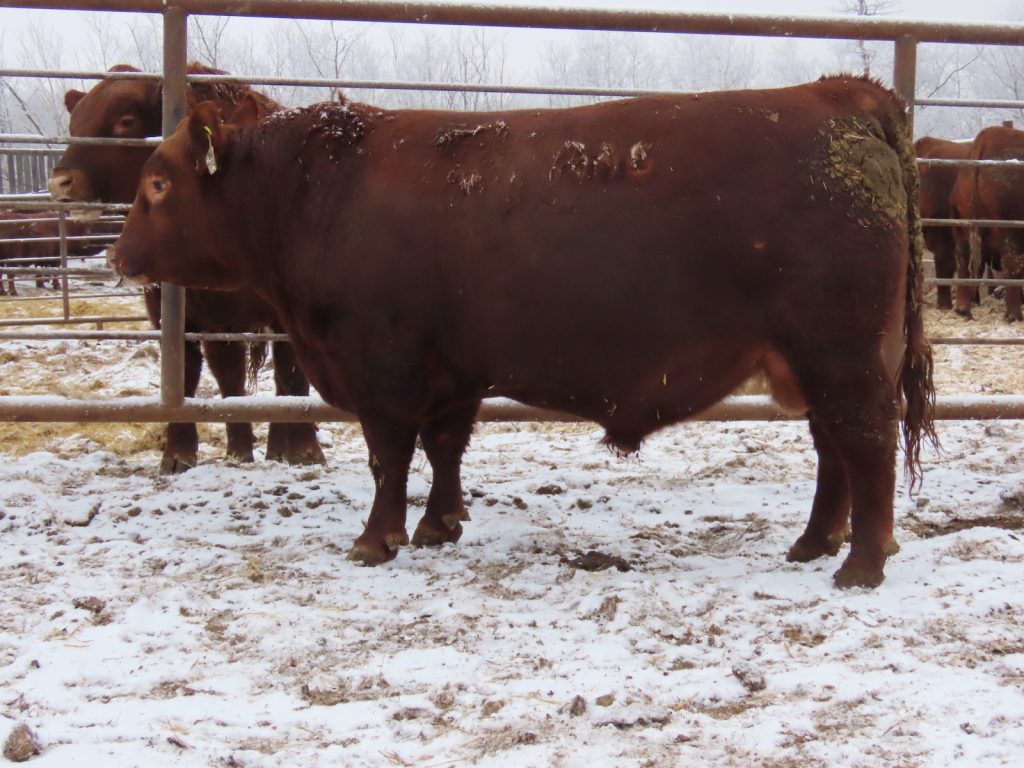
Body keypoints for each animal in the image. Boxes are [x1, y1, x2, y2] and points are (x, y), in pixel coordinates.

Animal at [47, 64, 325, 473]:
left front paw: (304, 449)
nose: (61, 182)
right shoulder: (189, 317)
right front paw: (193, 452)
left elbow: (290, 378)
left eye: (125, 121)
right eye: (74, 123)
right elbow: (198, 376)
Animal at [111, 75, 935, 589]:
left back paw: (861, 563)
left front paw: (376, 540)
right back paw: (814, 542)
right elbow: (444, 447)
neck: (316, 191)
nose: (119, 257)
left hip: (840, 352)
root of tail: (839, 91)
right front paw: (440, 524)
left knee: (865, 441)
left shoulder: (384, 367)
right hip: (816, 358)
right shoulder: (452, 370)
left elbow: (388, 457)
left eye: (157, 183)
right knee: (834, 447)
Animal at [951, 124, 1024, 321]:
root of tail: (985, 139)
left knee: (963, 259)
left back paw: (962, 308)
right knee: (1012, 263)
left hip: (961, 226)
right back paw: (1014, 314)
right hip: (1010, 229)